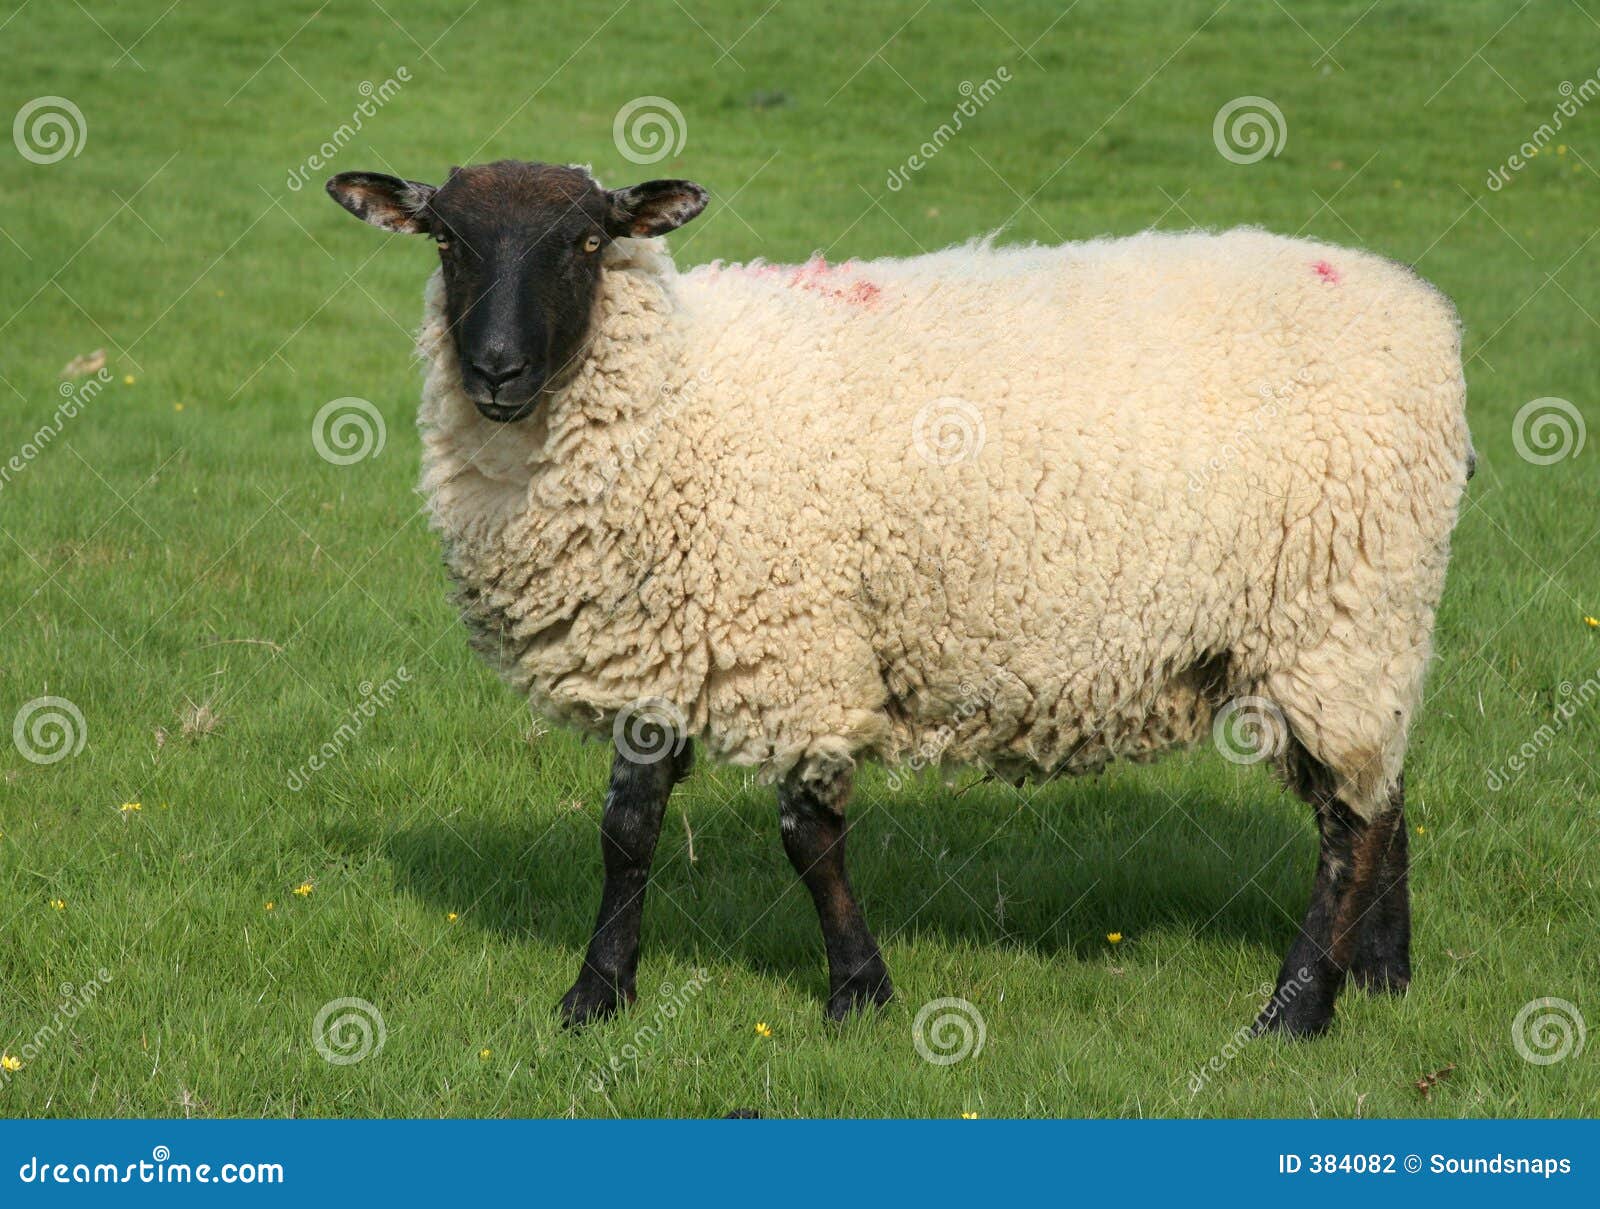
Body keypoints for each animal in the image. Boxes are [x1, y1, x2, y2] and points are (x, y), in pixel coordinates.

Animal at [326, 160, 1473, 1037]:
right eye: (446, 240)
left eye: (587, 243)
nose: (496, 369)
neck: (680, 394)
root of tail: (1423, 311)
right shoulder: (661, 644)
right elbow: (626, 830)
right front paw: (596, 994)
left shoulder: (798, 643)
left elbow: (808, 834)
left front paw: (858, 991)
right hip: (1356, 626)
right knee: (1381, 792)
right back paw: (1382, 974)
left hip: (1339, 608)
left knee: (1349, 824)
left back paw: (1298, 1007)